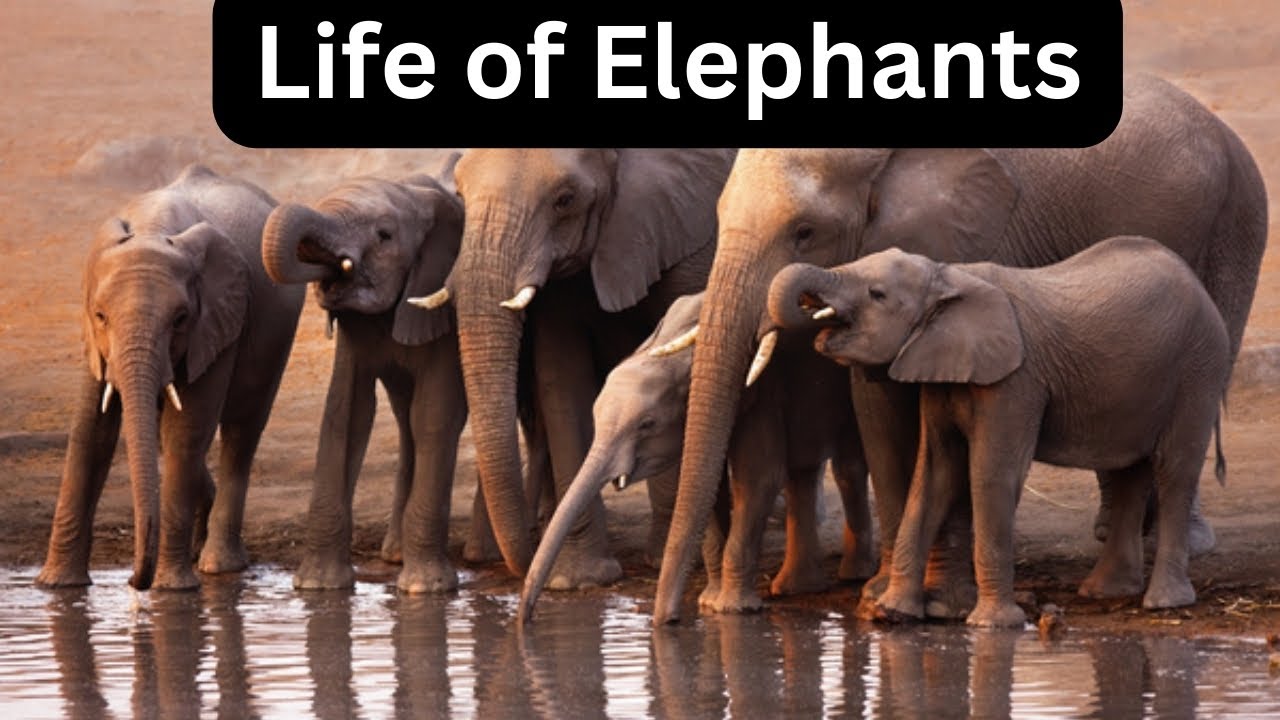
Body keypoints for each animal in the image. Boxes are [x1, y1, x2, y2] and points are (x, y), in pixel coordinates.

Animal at [35, 164, 305, 591]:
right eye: (100, 316)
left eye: (180, 319)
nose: (134, 581)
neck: (151, 227)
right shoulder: (95, 342)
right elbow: (90, 431)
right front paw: (57, 587)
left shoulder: (218, 322)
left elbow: (186, 431)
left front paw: (172, 590)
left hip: (276, 334)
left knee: (242, 432)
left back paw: (217, 565)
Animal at [260, 154, 503, 593]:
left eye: (385, 236)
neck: (410, 191)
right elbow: (345, 412)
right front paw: (319, 587)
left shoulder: (441, 304)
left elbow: (435, 414)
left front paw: (426, 589)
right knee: (406, 422)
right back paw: (395, 553)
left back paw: (482, 555)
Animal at [409, 149, 737, 588]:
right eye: (460, 193)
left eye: (564, 200)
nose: (520, 564)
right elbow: (562, 384)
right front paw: (579, 580)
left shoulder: (693, 235)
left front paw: (657, 560)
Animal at [517, 291, 874, 623]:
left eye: (647, 424)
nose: (525, 618)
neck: (678, 351)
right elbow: (711, 483)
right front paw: (709, 603)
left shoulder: (761, 391)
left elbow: (758, 478)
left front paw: (730, 610)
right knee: (805, 470)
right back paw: (796, 588)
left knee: (848, 464)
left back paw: (853, 575)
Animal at [766, 236, 1230, 626]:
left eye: (876, 295)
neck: (948, 277)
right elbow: (934, 473)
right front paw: (890, 613)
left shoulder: (1016, 380)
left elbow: (991, 474)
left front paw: (991, 626)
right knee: (1129, 471)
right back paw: (1104, 592)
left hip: (1198, 368)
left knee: (1174, 470)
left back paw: (1164, 603)